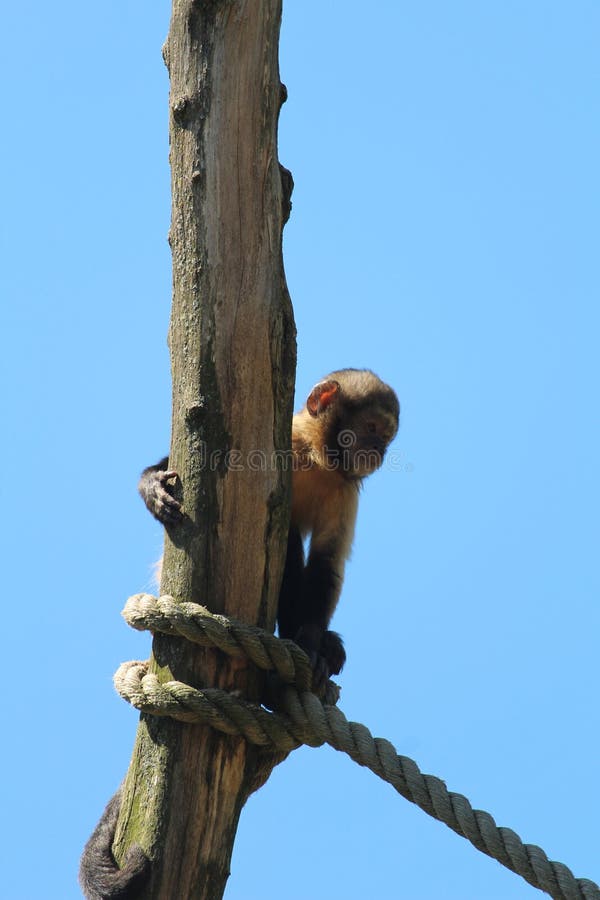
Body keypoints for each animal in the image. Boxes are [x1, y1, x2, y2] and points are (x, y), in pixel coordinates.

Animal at [139, 368, 399, 681]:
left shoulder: (345, 490)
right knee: (289, 539)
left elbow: (327, 563)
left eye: (385, 437)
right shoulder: (287, 439)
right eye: (371, 428)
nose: (379, 450)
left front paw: (311, 640)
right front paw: (152, 485)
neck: (315, 457)